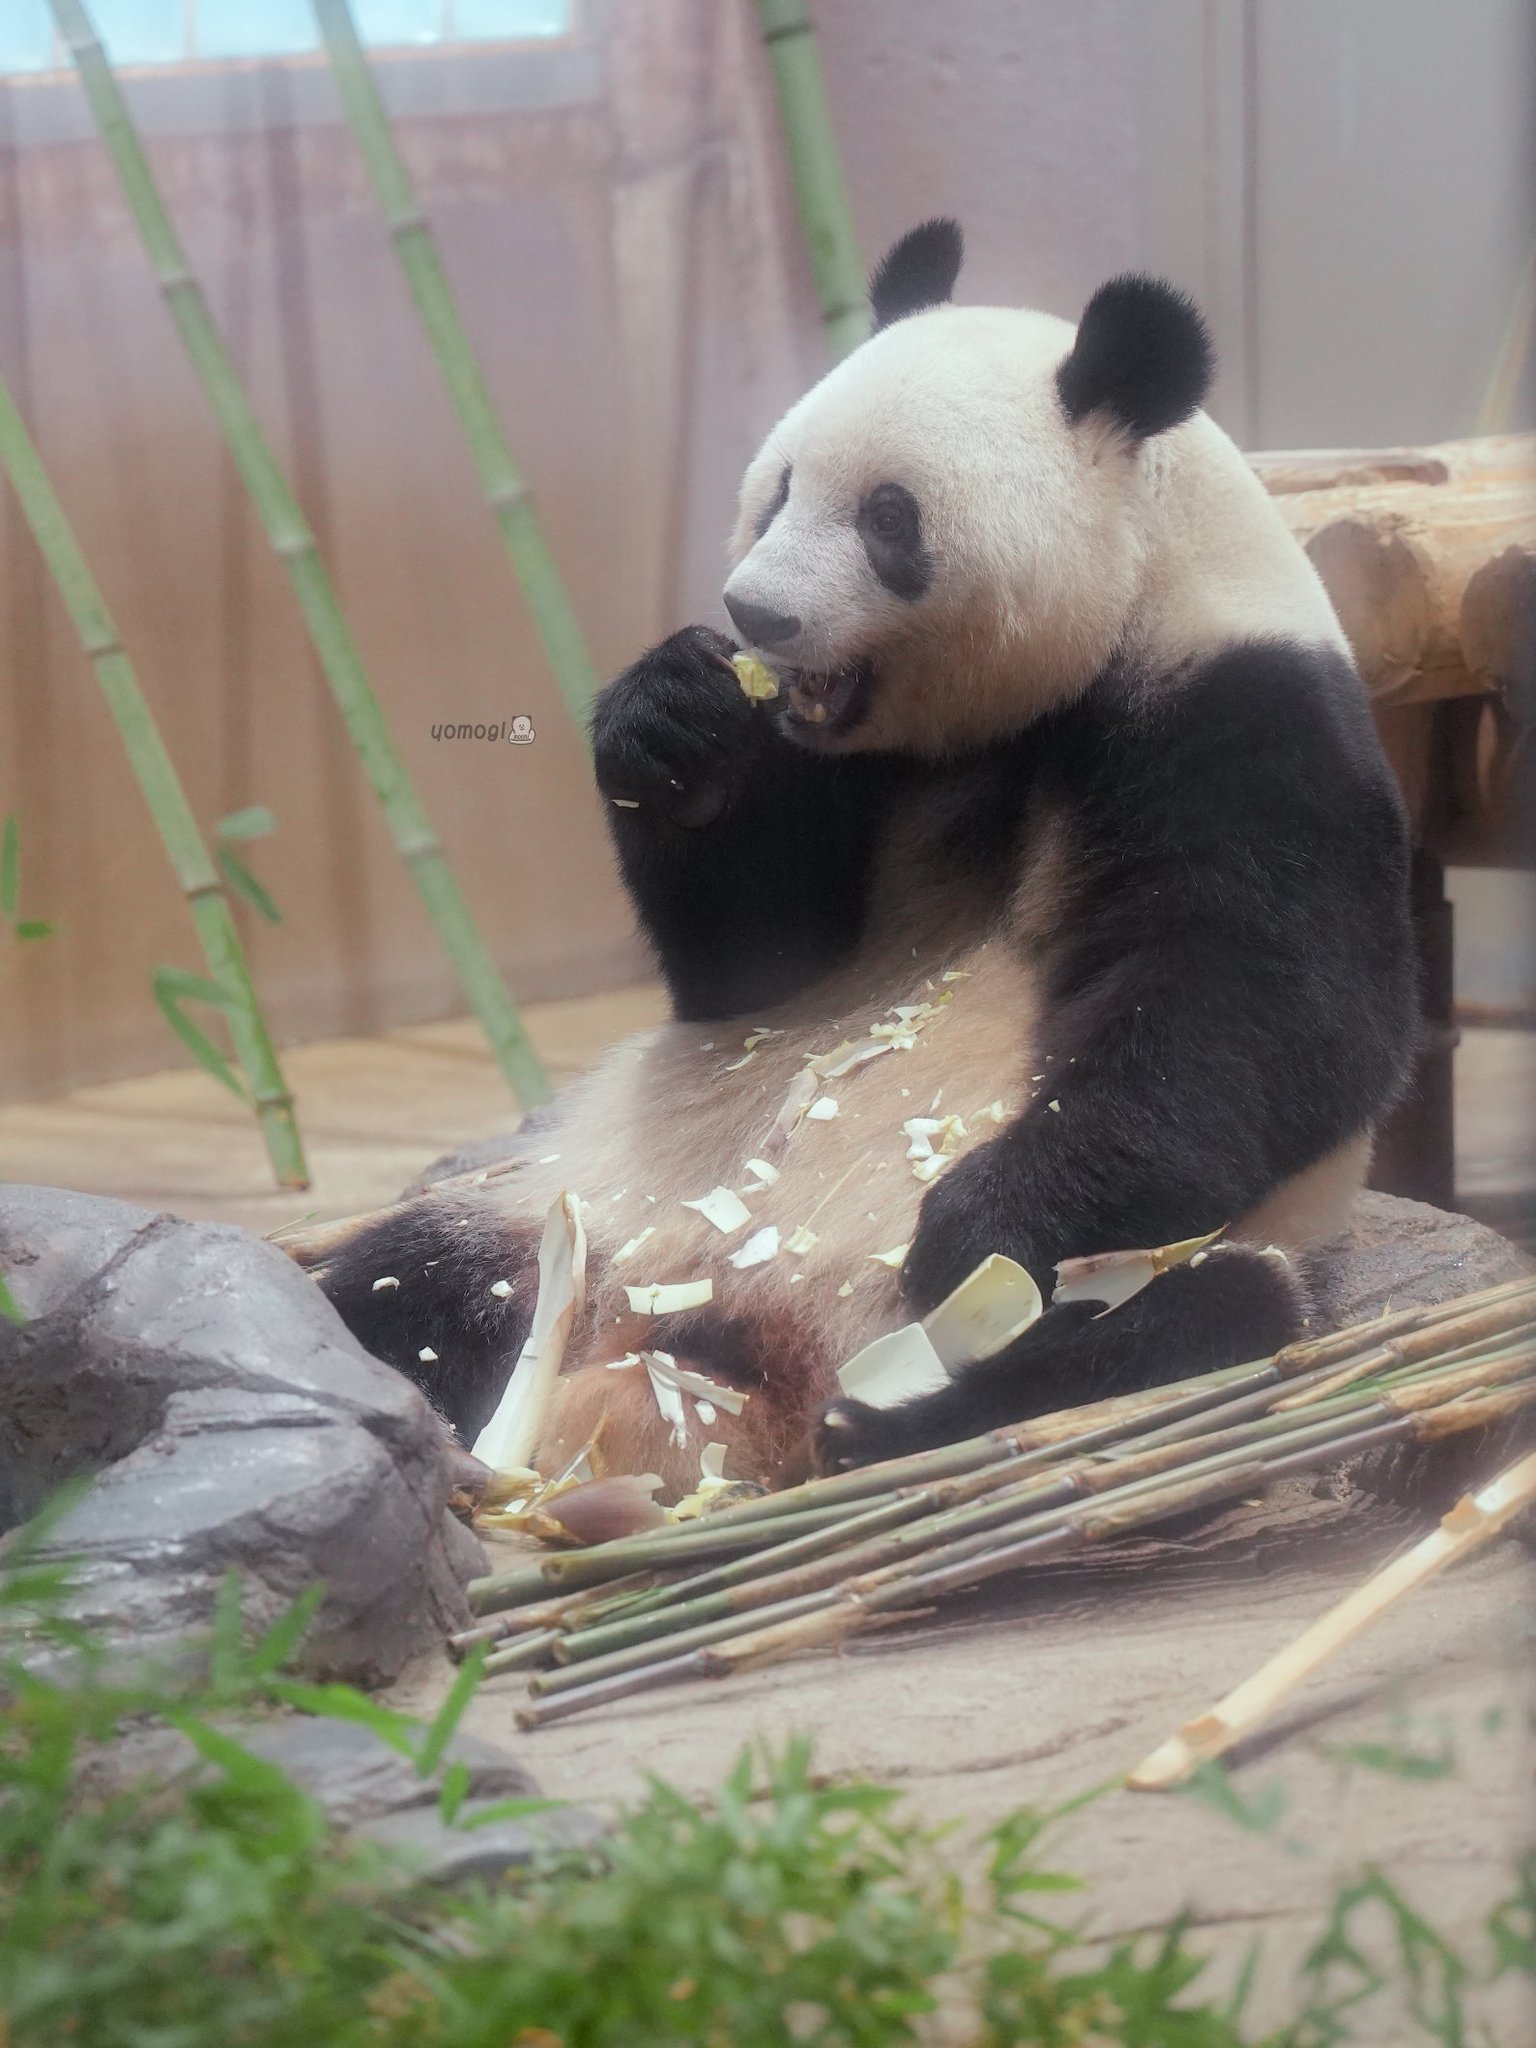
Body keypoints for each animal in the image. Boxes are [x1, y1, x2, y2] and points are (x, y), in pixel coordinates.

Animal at [308, 219, 1415, 1494]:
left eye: (891, 516)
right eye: (778, 488)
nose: (756, 612)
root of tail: (716, 1364)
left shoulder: (1245, 711)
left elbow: (1268, 1007)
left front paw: (984, 1222)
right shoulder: (849, 773)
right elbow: (749, 961)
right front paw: (675, 716)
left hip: (1127, 1277)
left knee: (1193, 1319)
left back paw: (899, 1416)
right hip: (580, 1215)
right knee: (404, 1276)